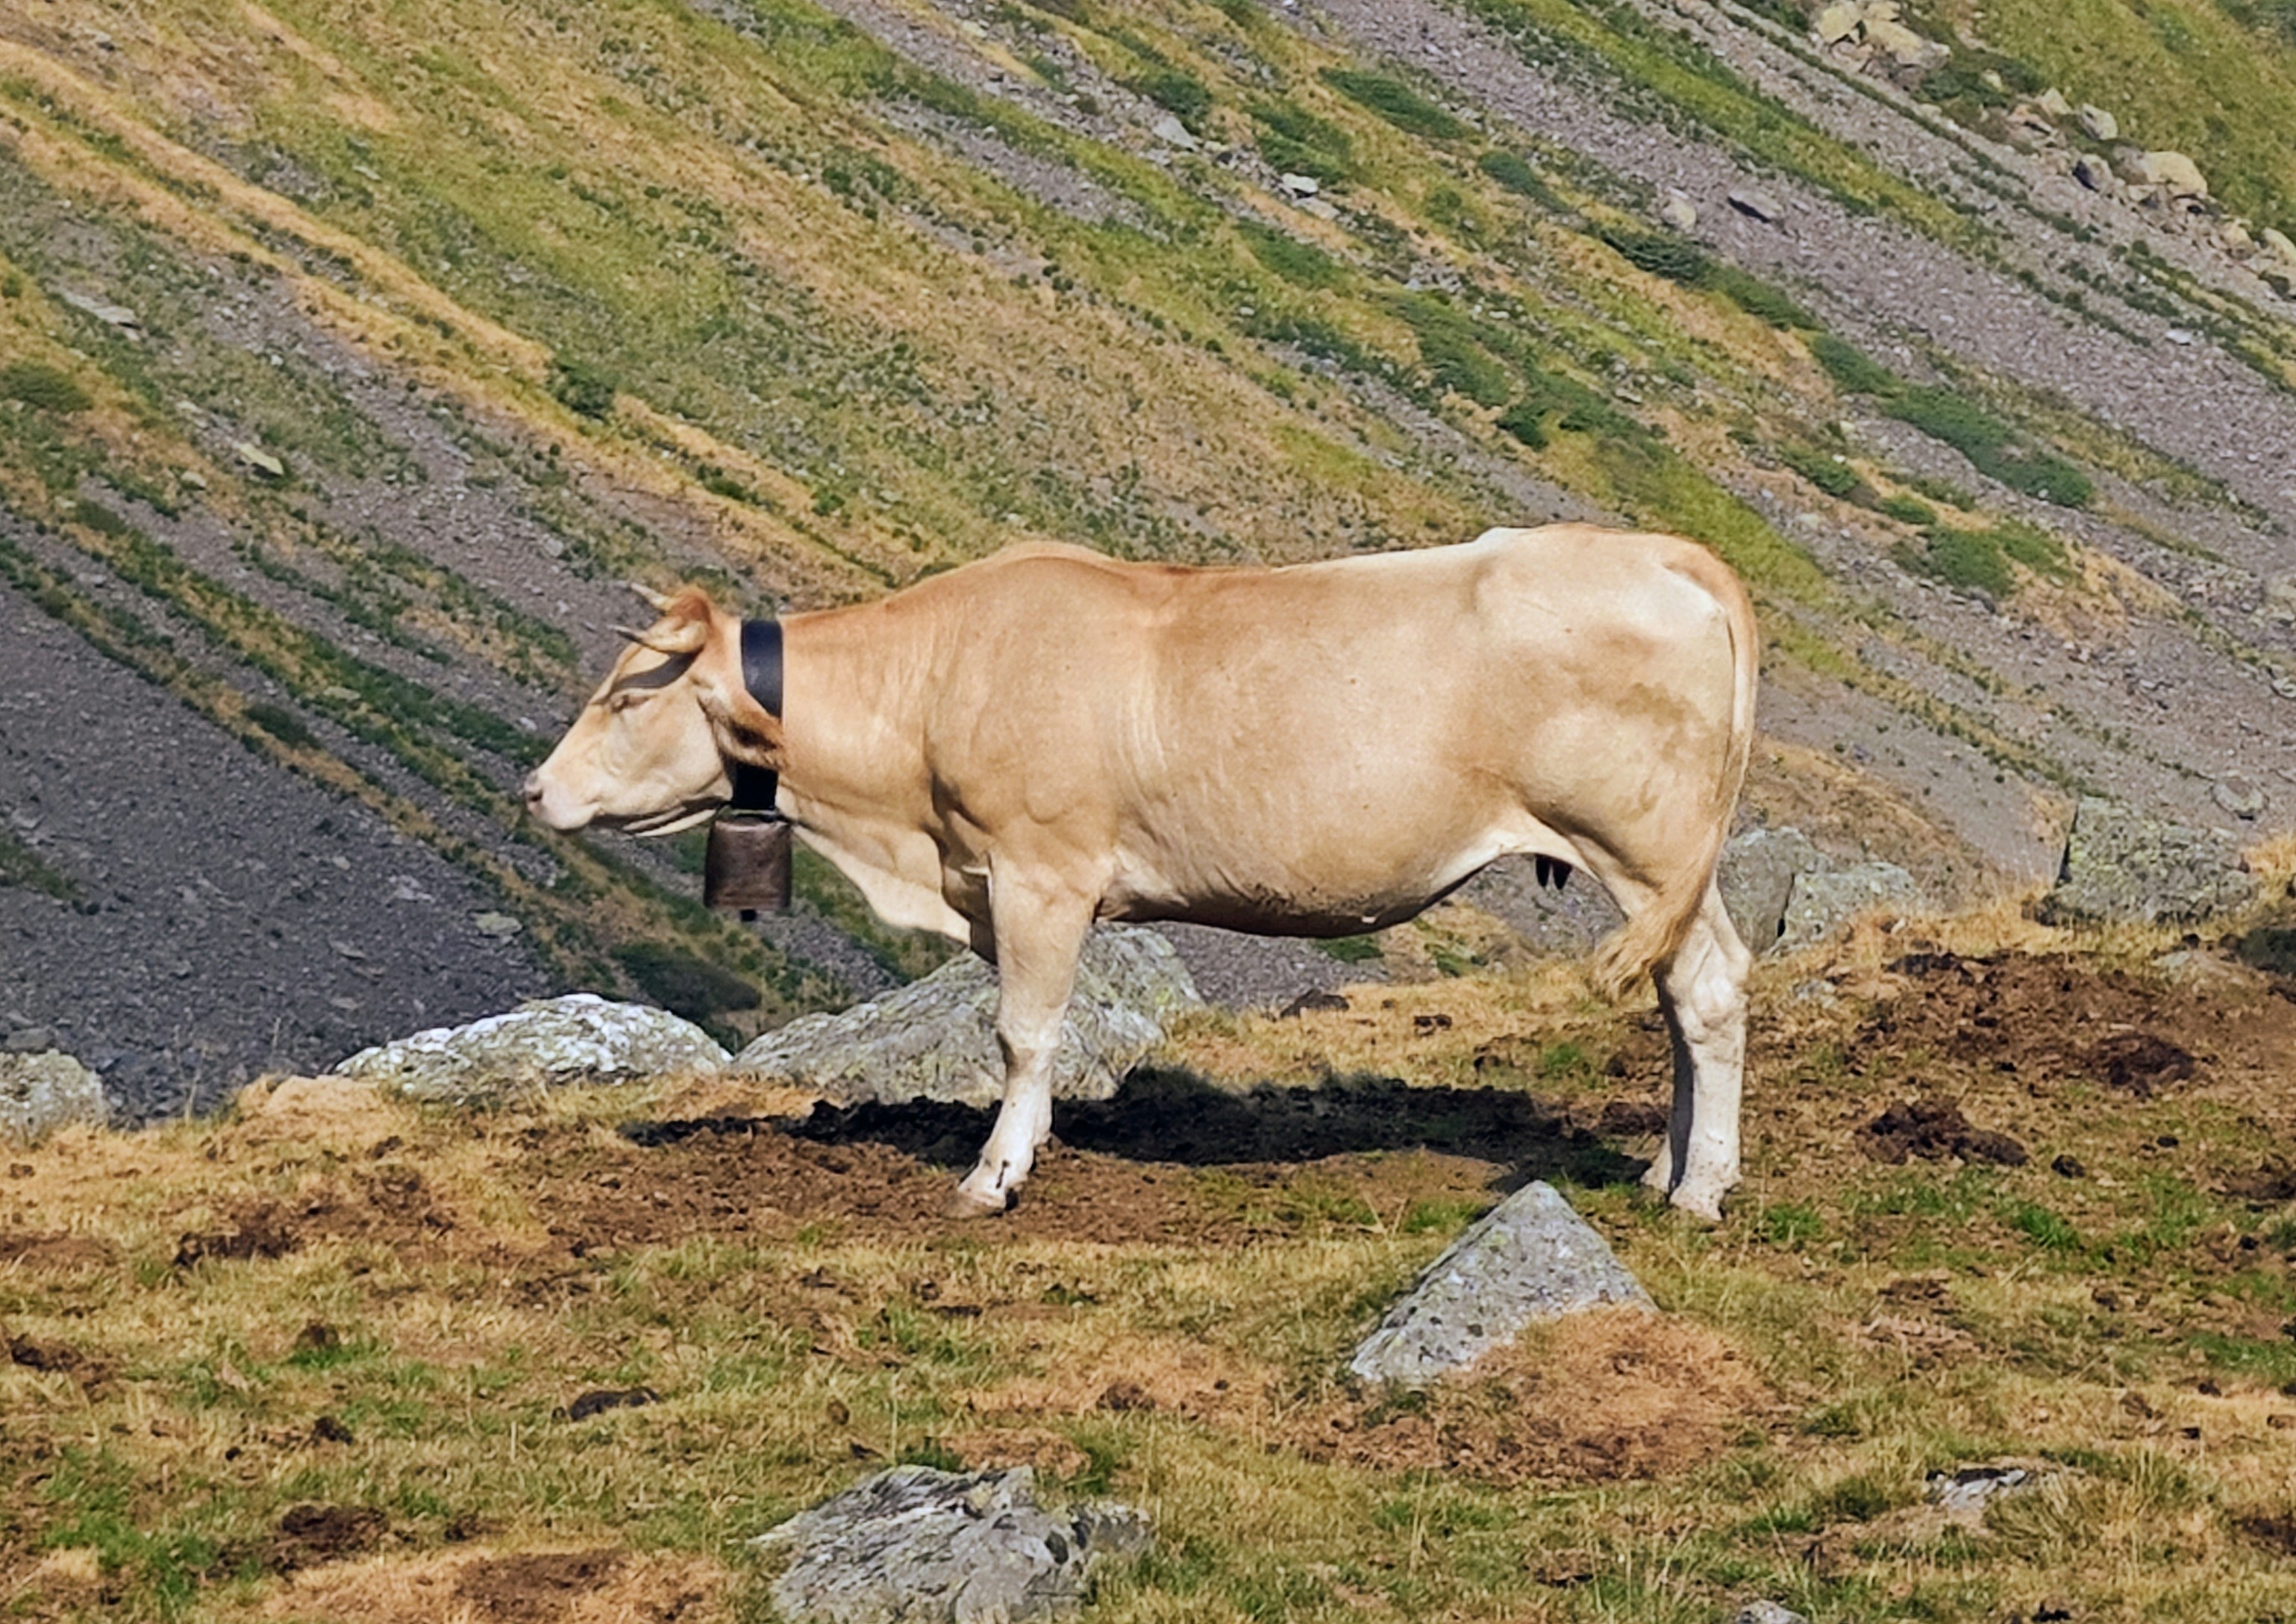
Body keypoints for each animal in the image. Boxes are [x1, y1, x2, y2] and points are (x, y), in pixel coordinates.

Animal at [523, 526, 1760, 1220]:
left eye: (626, 696)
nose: (534, 790)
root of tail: (1665, 550)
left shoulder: (1040, 869)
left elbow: (1023, 1030)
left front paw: (992, 1178)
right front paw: (1031, 1146)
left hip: (1638, 842)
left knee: (1705, 990)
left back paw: (1697, 1193)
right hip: (1665, 867)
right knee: (1688, 990)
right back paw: (1665, 1171)